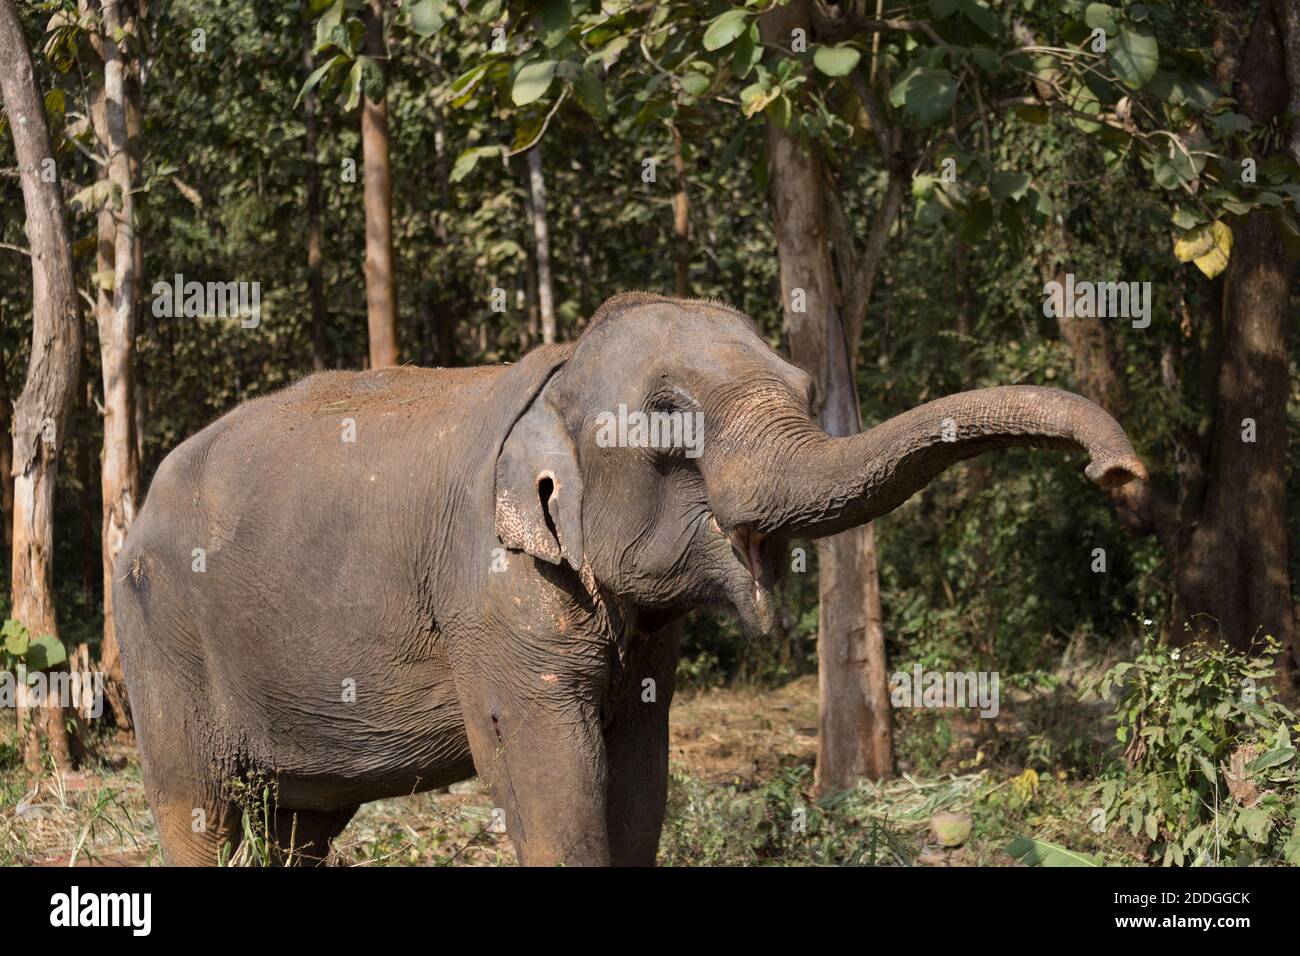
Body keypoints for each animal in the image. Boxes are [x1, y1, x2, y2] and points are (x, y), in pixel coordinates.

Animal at [115, 292, 1146, 866]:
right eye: (672, 421)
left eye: (806, 391)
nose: (1123, 477)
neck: (553, 376)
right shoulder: (490, 599)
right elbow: (545, 767)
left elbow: (640, 771)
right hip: (162, 647)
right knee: (198, 810)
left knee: (300, 829)